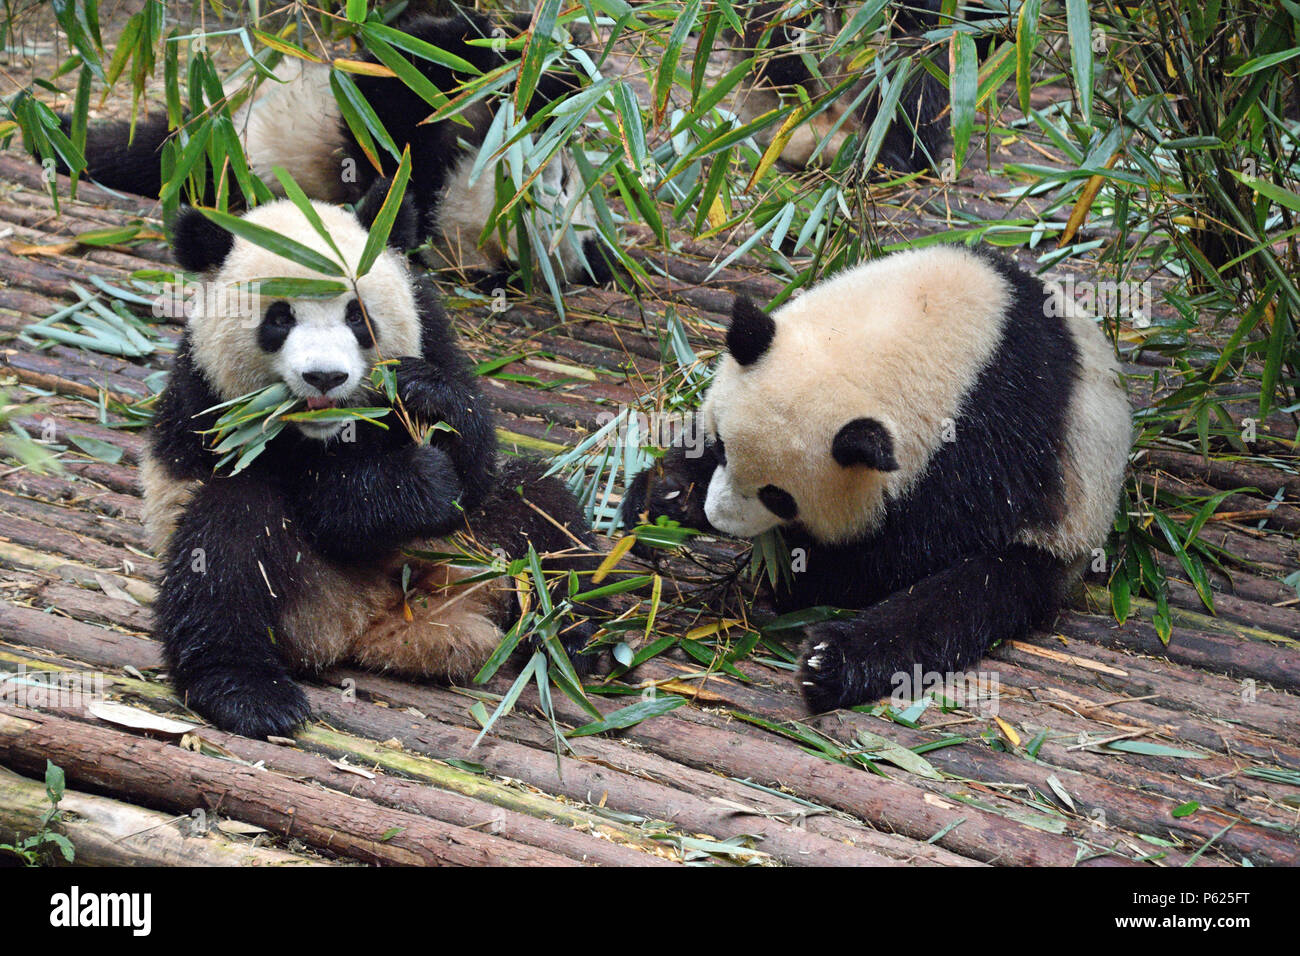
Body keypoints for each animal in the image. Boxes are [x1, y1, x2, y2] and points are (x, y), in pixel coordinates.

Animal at [66, 9, 611, 285]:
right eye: (565, 180)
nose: (550, 175)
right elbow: (402, 77)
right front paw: (542, 48)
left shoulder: (404, 187)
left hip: (229, 149)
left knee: (155, 155)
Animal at [143, 194, 605, 738]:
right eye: (279, 319)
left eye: (357, 315)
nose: (324, 376)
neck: (335, 427)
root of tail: (372, 620)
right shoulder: (220, 405)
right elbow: (326, 503)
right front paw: (420, 484)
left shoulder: (429, 325)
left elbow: (477, 462)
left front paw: (427, 398)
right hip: (305, 593)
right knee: (226, 541)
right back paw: (249, 694)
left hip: (467, 547)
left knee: (545, 511)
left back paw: (572, 636)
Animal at [624, 245, 1132, 712]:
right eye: (722, 448)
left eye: (779, 497)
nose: (719, 517)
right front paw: (663, 499)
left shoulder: (987, 446)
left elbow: (898, 557)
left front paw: (797, 573)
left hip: (1066, 525)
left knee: (966, 599)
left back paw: (830, 663)